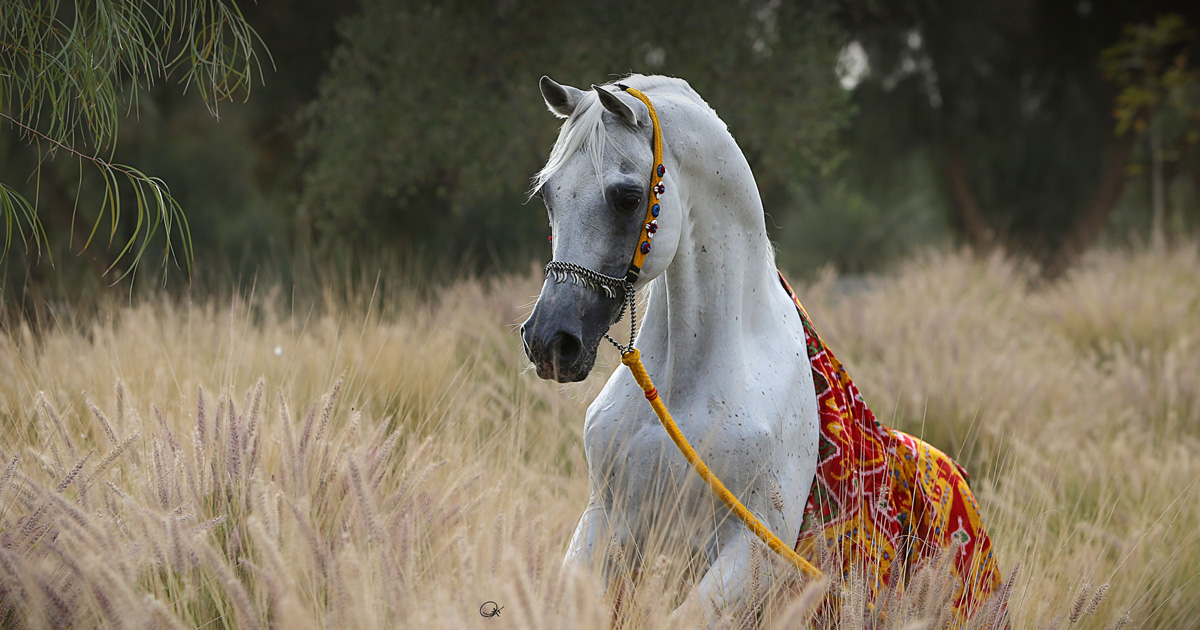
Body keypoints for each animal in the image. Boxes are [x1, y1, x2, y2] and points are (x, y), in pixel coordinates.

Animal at [520, 74, 1002, 625]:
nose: (549, 341)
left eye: (626, 197)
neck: (690, 380)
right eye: (549, 195)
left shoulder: (755, 554)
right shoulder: (607, 519)